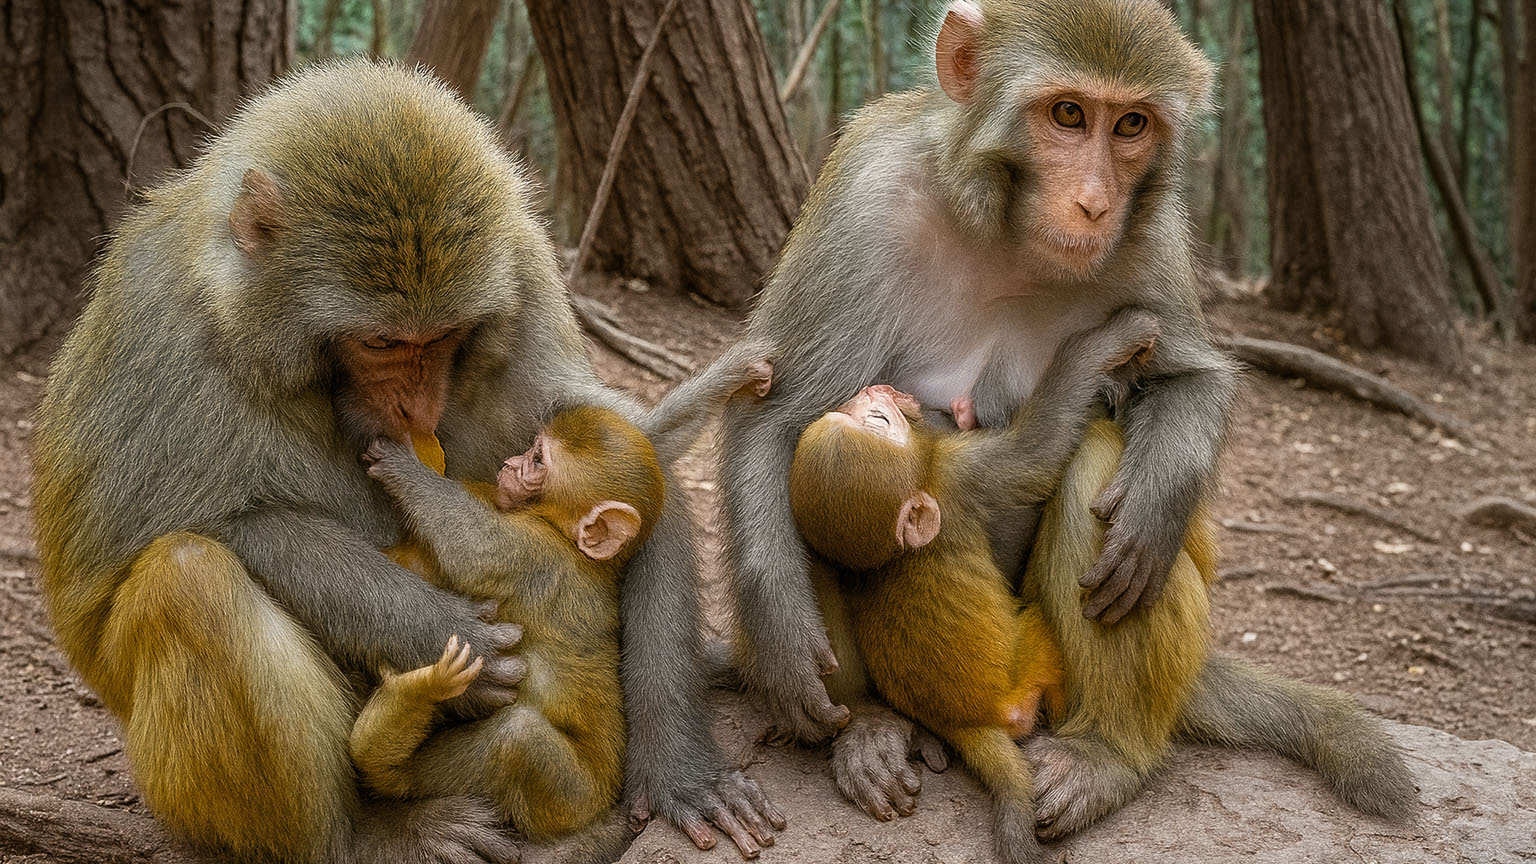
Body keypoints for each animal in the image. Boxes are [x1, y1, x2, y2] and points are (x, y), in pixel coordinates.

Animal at [31, 60, 779, 864]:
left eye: (443, 335)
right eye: (383, 342)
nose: (415, 407)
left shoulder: (524, 275)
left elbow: (637, 454)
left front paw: (679, 772)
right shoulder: (160, 324)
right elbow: (195, 527)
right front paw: (440, 632)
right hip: (176, 781)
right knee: (187, 574)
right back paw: (361, 832)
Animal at [715, 0, 1417, 835]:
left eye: (1131, 125)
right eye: (1068, 114)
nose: (1094, 202)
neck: (1008, 234)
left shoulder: (1152, 233)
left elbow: (1191, 383)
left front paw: (1152, 507)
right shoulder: (867, 187)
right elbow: (778, 408)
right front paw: (786, 642)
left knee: (1096, 467)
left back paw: (1106, 754)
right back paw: (873, 727)